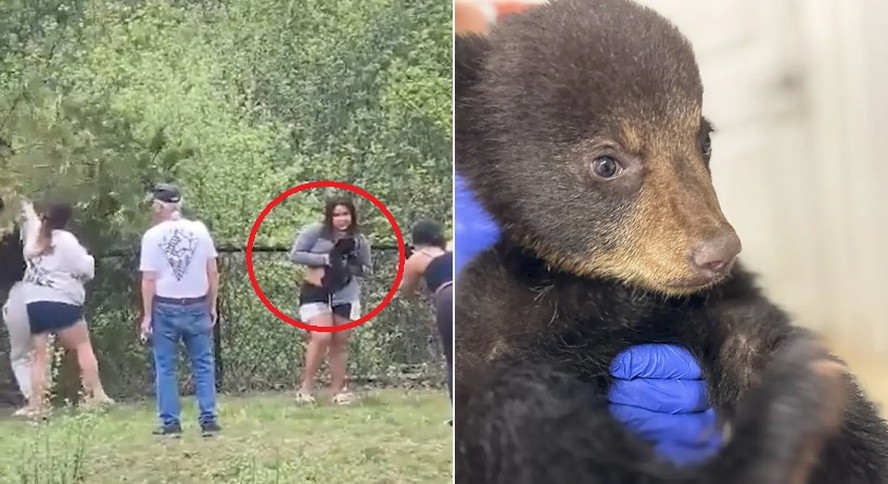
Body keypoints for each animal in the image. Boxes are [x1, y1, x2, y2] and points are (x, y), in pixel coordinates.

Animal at [453, 0, 888, 483]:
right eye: (606, 163)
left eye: (704, 139)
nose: (719, 252)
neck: (613, 290)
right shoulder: (491, 328)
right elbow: (539, 440)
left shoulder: (724, 303)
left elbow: (763, 349)